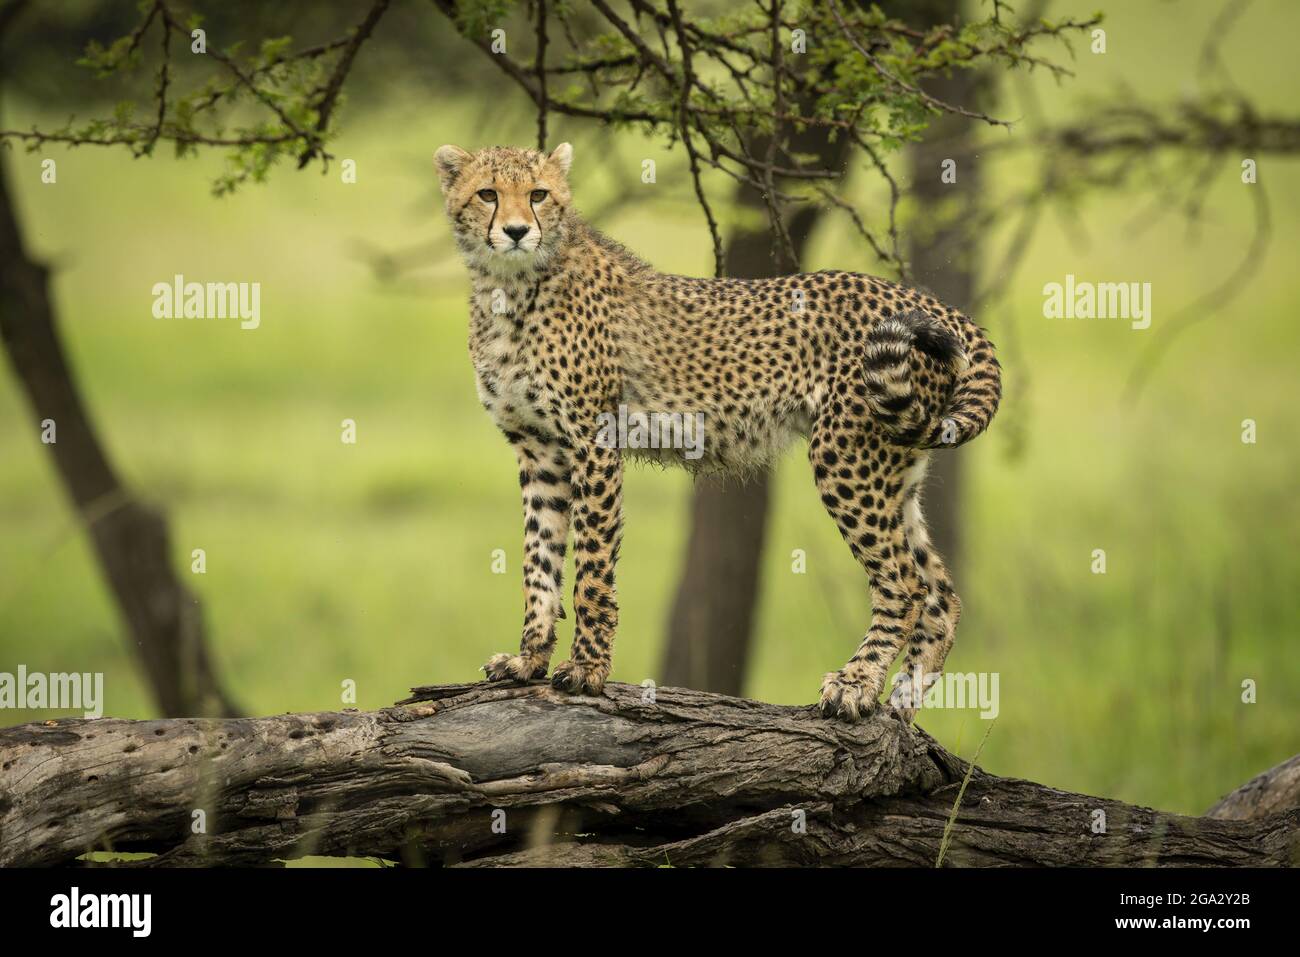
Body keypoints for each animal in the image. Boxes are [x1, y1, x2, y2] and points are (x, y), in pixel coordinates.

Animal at [434, 141, 1001, 721]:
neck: (508, 286)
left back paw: (856, 684)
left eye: (539, 194)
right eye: (488, 194)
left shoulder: (593, 443)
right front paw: (528, 660)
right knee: (941, 597)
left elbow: (591, 566)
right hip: (896, 468)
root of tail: (924, 299)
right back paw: (898, 709)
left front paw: (587, 670)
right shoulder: (540, 451)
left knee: (905, 584)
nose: (517, 230)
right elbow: (539, 559)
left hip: (846, 455)